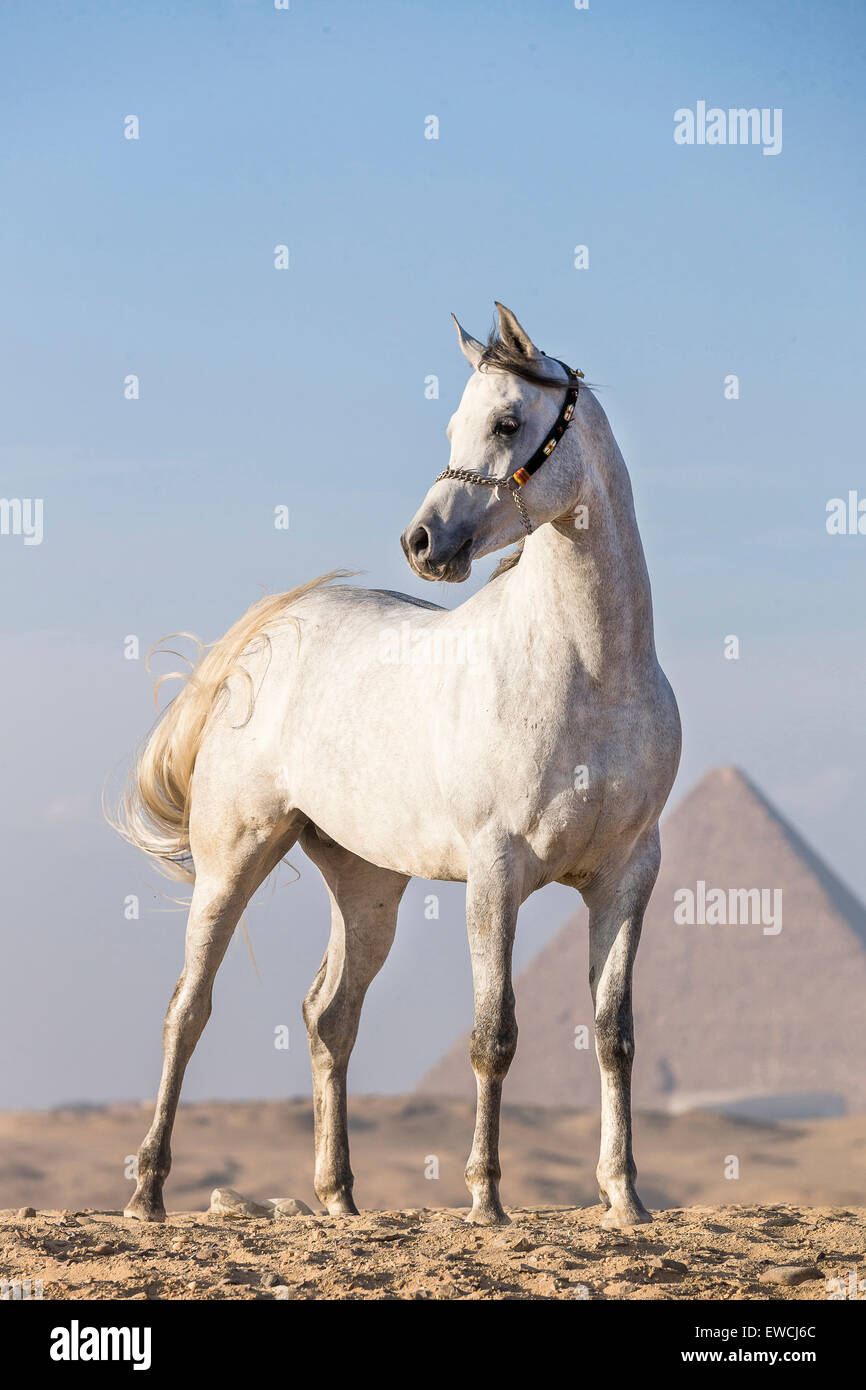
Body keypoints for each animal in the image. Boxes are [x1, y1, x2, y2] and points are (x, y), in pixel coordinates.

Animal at [114, 302, 681, 1229]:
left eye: (508, 422)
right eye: (455, 423)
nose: (423, 542)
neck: (592, 671)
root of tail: (268, 636)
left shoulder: (627, 875)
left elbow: (614, 1034)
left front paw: (624, 1197)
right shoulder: (496, 872)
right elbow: (496, 1035)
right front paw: (486, 1200)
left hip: (367, 882)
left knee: (330, 1016)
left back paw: (340, 1198)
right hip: (234, 860)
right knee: (186, 1009)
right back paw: (148, 1192)